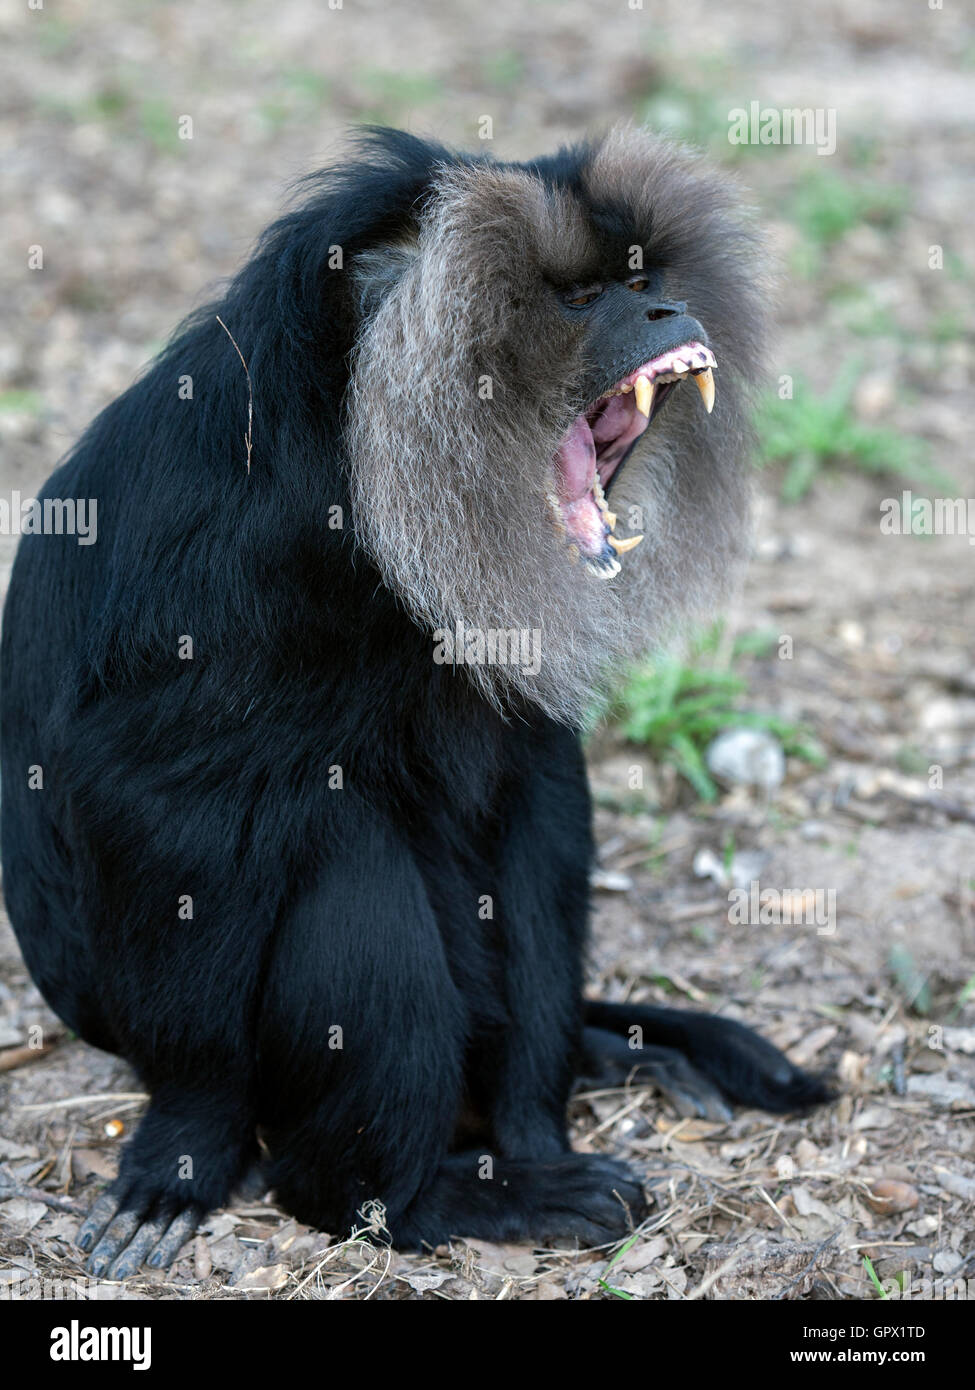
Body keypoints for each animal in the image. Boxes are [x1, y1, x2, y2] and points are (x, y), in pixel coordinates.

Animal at [0, 125, 830, 1278]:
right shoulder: (237, 549)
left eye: (640, 283)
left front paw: (539, 1122)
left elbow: (535, 789)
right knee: (345, 855)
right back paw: (418, 1199)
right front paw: (187, 1145)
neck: (369, 469)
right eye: (580, 299)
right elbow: (150, 806)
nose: (667, 312)